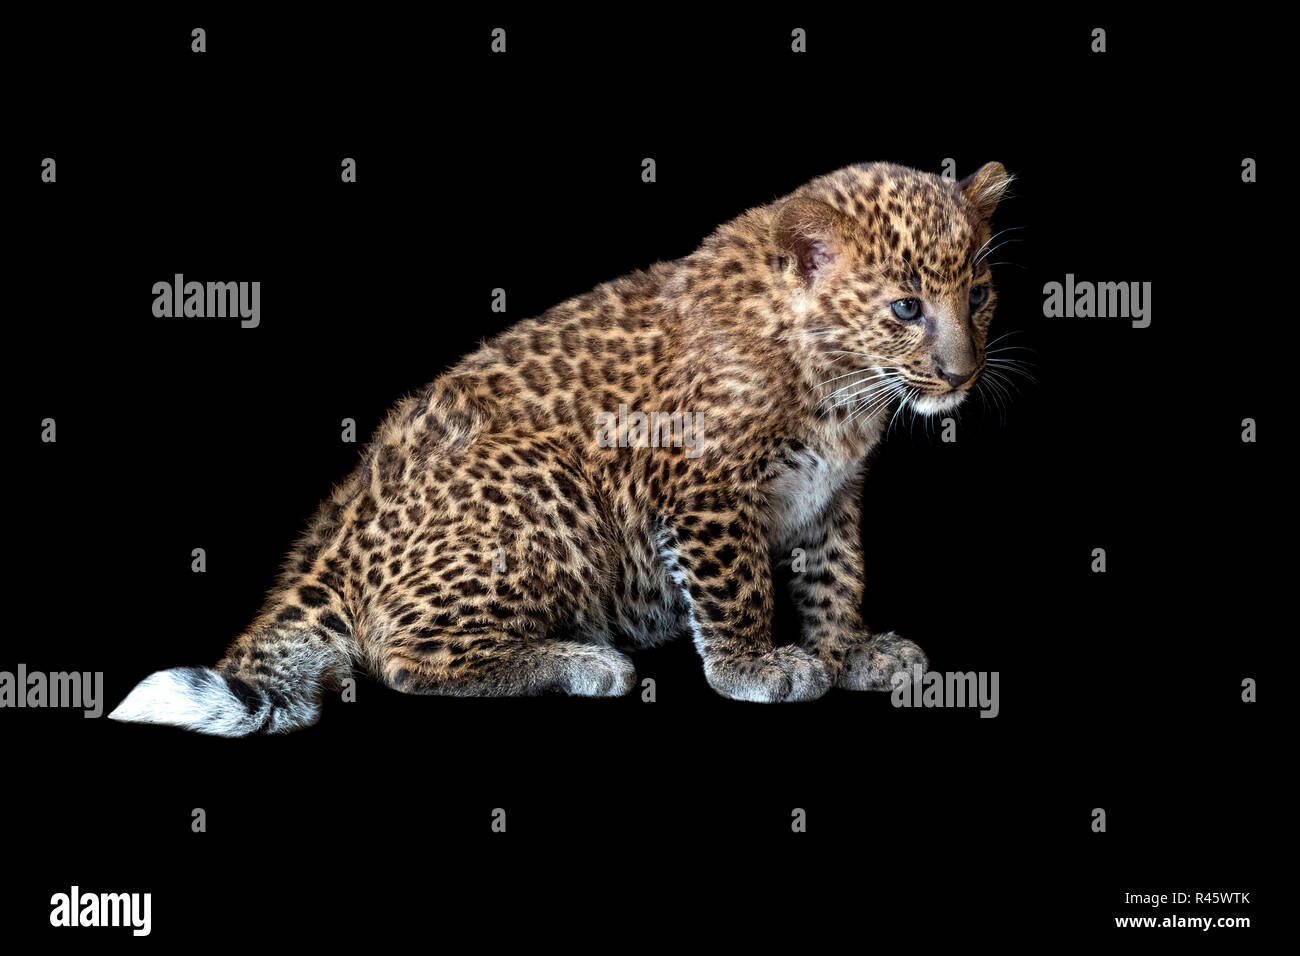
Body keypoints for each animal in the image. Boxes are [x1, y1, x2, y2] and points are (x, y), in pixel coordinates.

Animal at [110, 161, 1014, 735]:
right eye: (905, 308)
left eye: (977, 294)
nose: (960, 372)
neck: (838, 389)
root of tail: (333, 540)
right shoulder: (702, 486)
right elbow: (738, 587)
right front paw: (758, 667)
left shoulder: (830, 494)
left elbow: (835, 576)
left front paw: (849, 650)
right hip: (545, 481)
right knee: (400, 656)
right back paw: (584, 663)